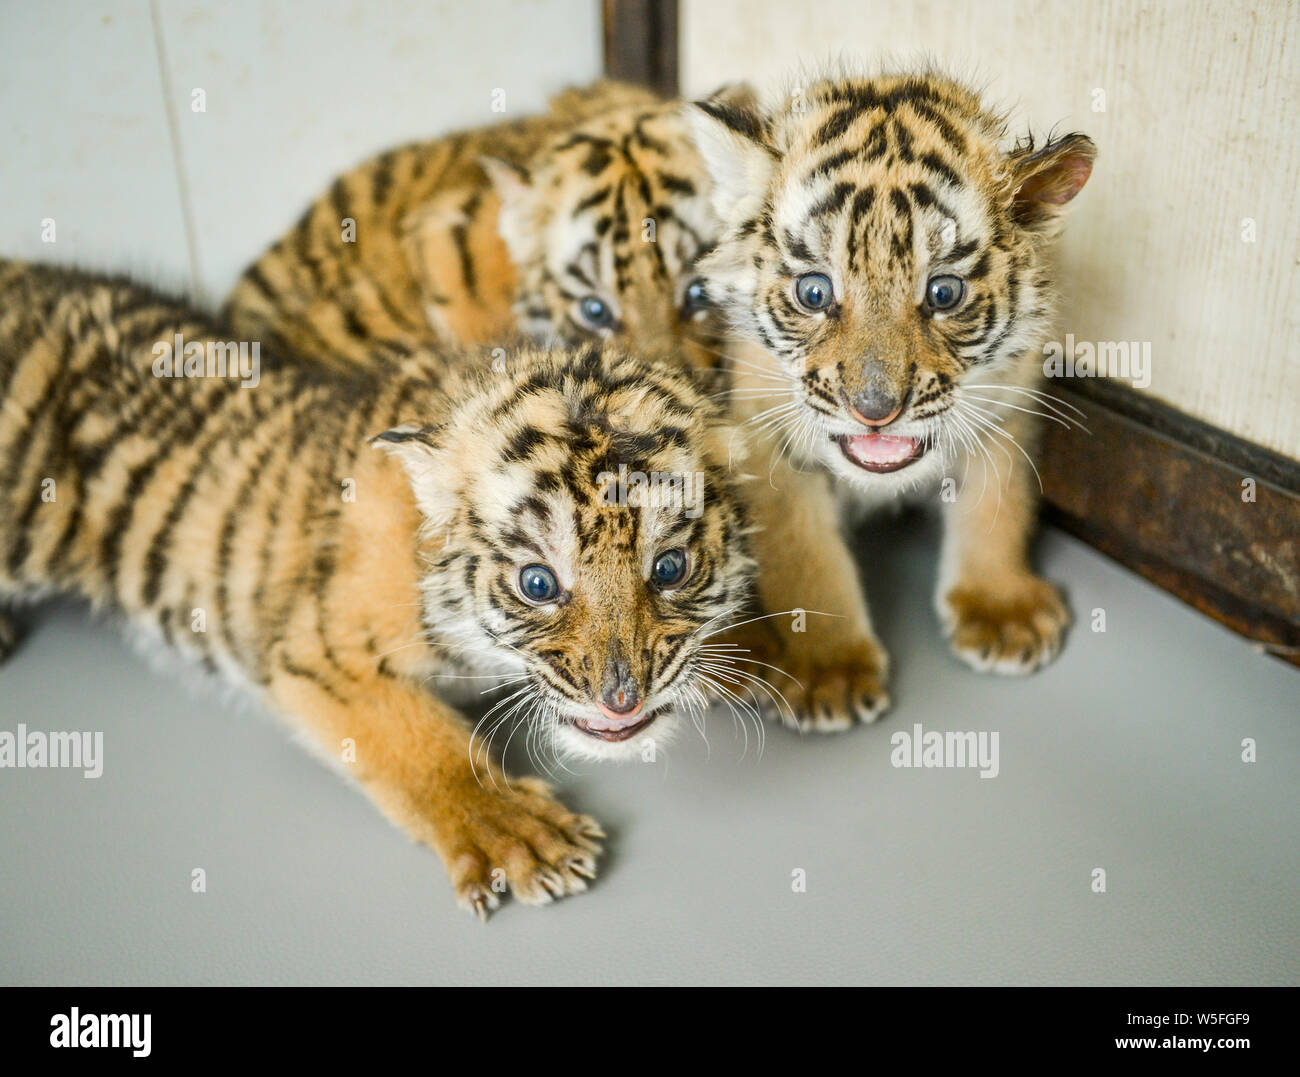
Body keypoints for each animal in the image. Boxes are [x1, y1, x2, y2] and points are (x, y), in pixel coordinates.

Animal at [0, 259, 756, 919]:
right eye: (538, 583)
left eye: (669, 568)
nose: (621, 697)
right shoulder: (320, 658)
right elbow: (422, 745)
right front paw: (519, 840)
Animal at [686, 69, 1095, 685]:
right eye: (814, 292)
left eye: (944, 293)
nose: (875, 409)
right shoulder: (762, 437)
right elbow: (801, 550)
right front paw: (830, 668)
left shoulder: (1005, 409)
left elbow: (997, 504)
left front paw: (1001, 610)